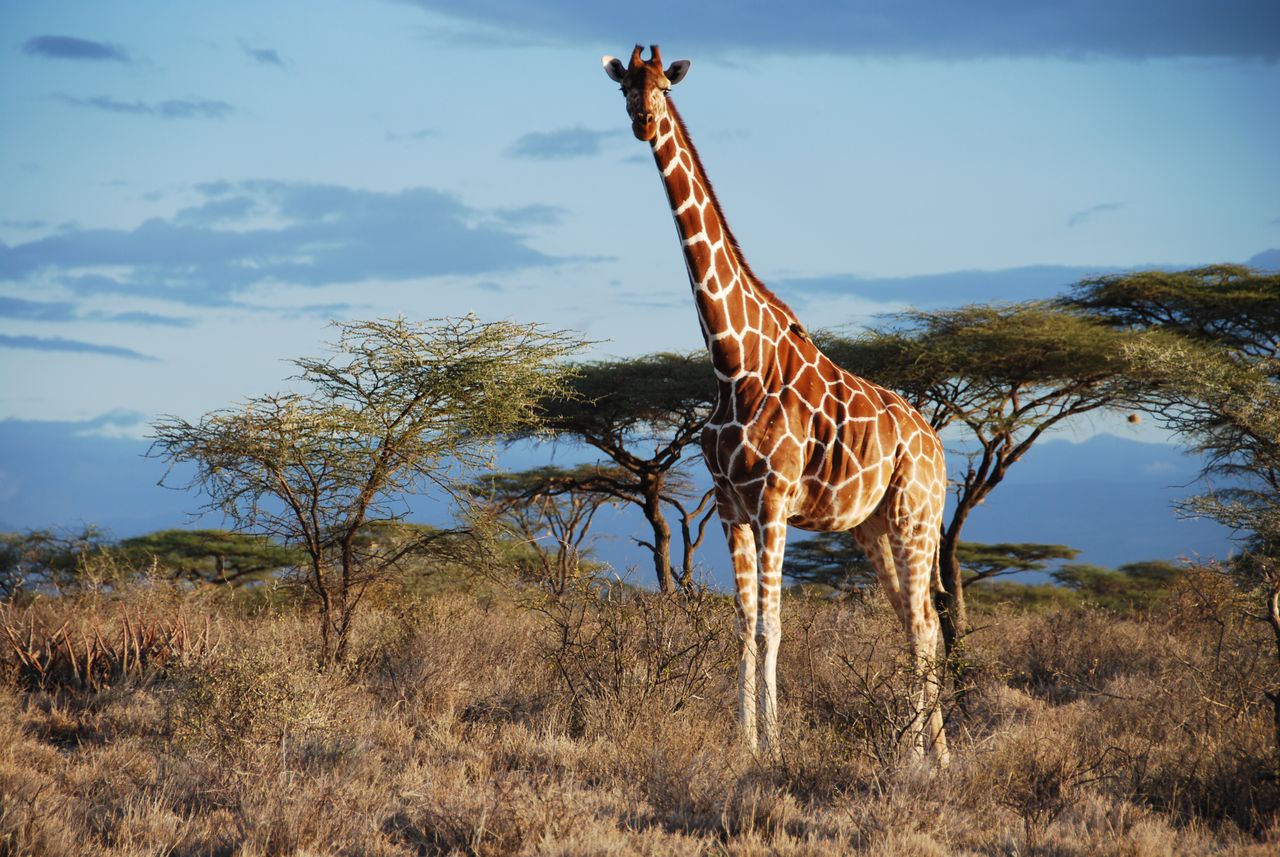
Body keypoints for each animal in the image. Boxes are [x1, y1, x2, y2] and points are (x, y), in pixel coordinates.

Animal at [602, 45, 949, 763]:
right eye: (624, 87)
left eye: (663, 87)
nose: (643, 122)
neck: (732, 362)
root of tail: (939, 446)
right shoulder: (731, 506)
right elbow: (743, 624)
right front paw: (745, 742)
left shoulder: (773, 501)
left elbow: (774, 625)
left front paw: (777, 747)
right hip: (874, 527)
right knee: (916, 623)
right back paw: (929, 755)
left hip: (916, 516)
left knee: (925, 624)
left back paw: (924, 756)